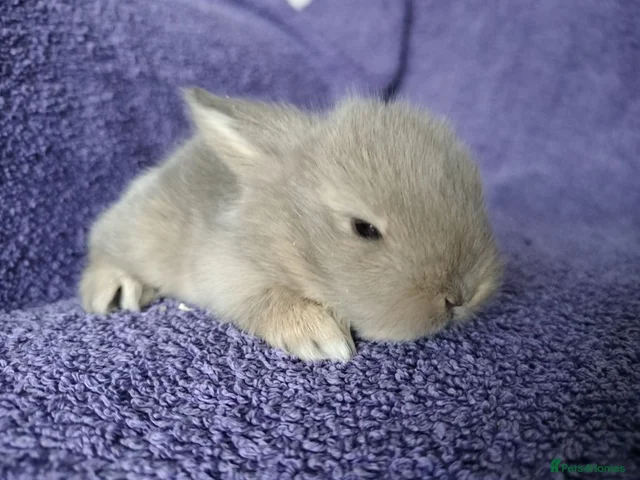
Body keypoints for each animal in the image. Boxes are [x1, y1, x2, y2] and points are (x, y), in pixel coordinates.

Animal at [79, 87, 503, 362]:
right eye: (364, 228)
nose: (461, 296)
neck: (285, 231)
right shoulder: (230, 274)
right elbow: (269, 299)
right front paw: (321, 338)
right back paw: (116, 289)